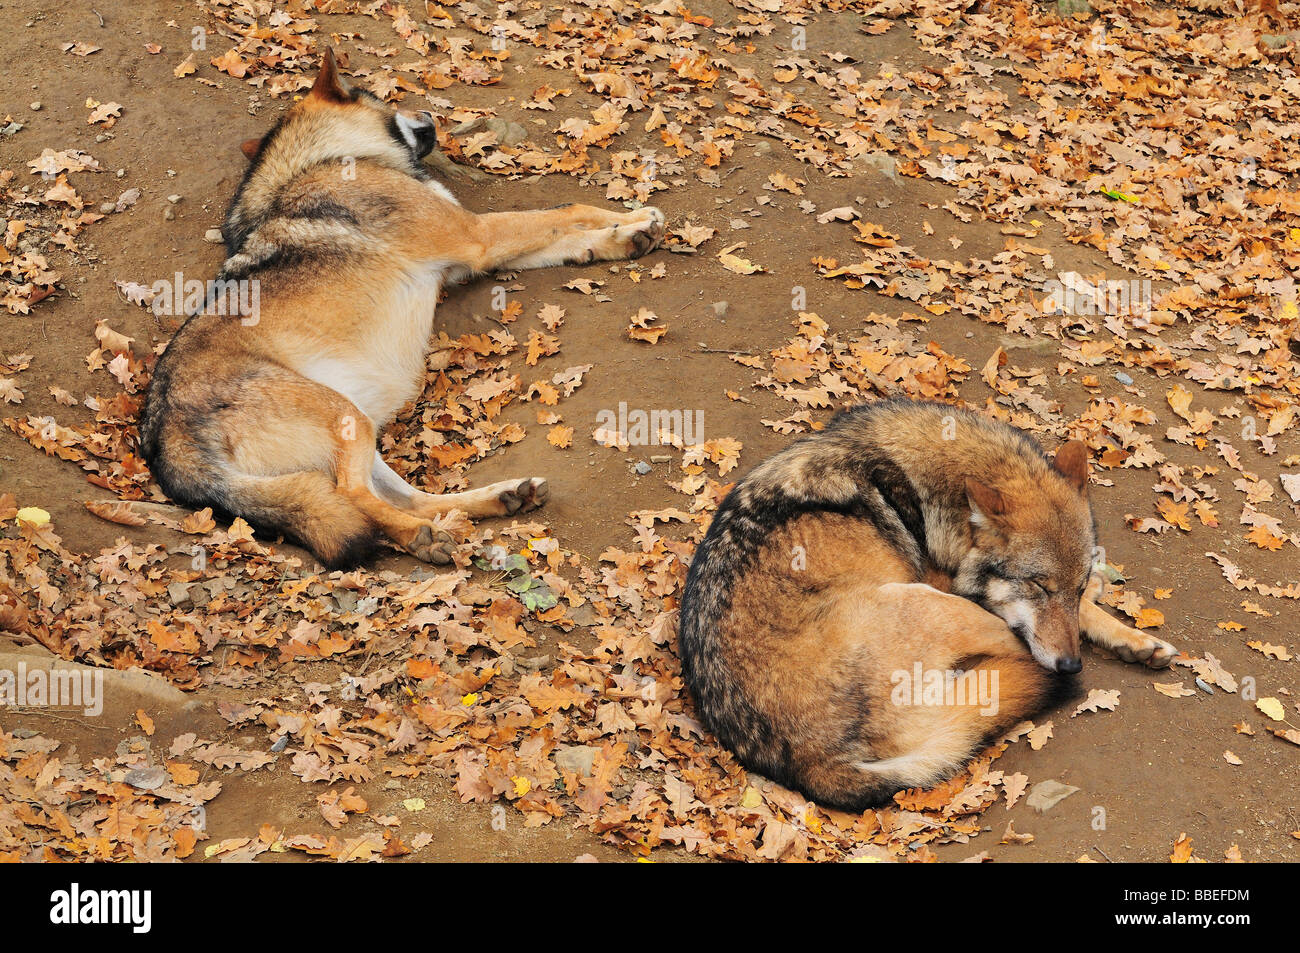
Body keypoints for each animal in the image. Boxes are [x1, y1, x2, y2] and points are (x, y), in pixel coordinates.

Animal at [138, 50, 664, 568]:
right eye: (375, 92)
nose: (430, 114)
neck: (325, 159)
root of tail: (163, 447)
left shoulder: (463, 261)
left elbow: (567, 229)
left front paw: (621, 235)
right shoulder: (477, 236)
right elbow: (567, 211)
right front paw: (634, 222)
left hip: (359, 430)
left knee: (410, 497)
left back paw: (502, 498)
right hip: (345, 418)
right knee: (354, 498)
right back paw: (424, 538)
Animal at [677, 398, 1178, 812]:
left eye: (1070, 588)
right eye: (1038, 586)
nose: (1071, 664)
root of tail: (809, 763)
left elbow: (1087, 609)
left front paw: (1132, 635)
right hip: (928, 601)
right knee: (1012, 653)